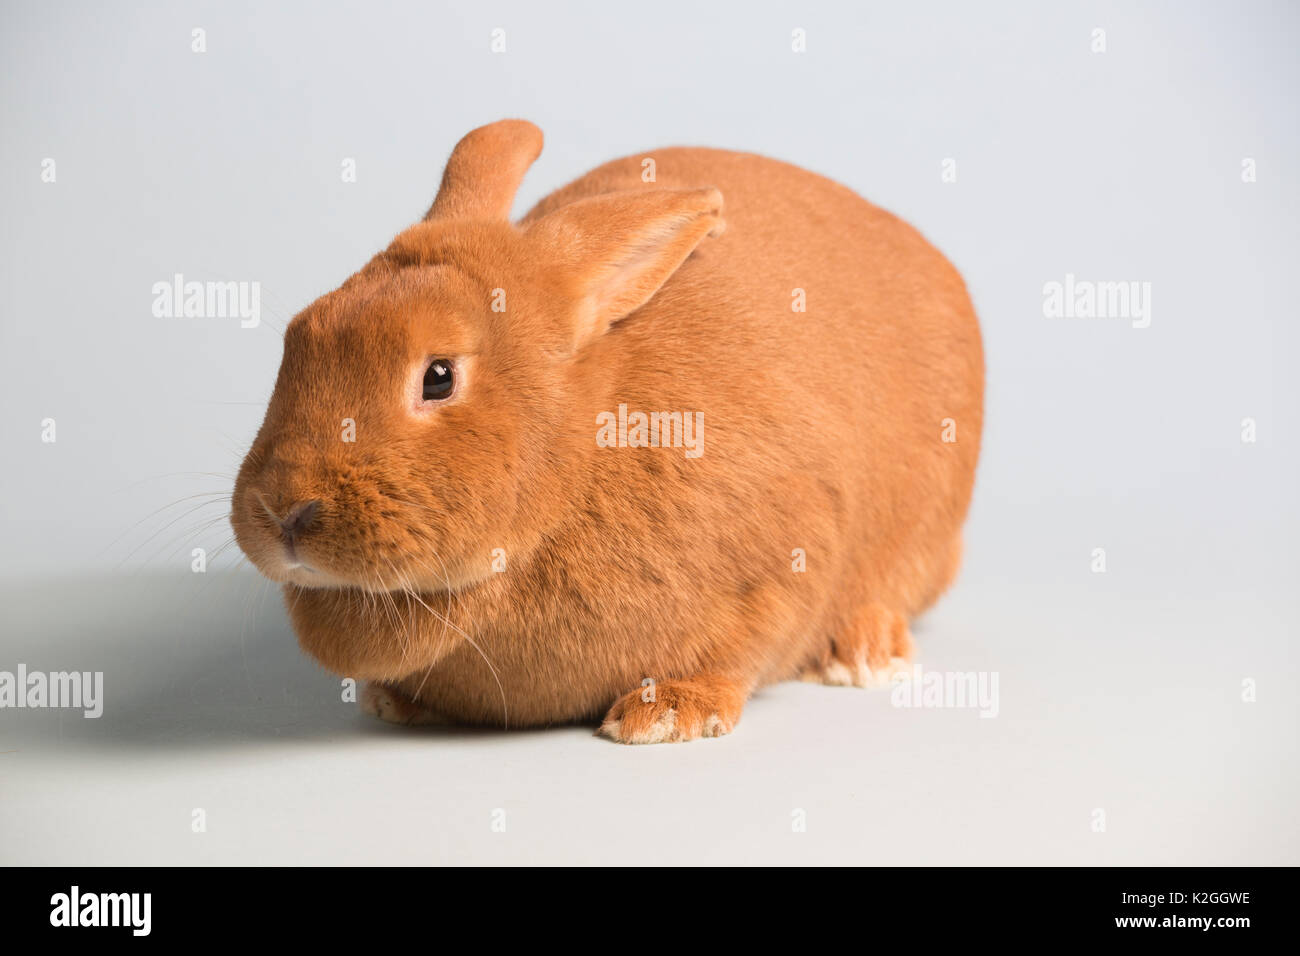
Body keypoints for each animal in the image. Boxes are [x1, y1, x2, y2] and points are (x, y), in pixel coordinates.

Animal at [230, 119, 984, 744]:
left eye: (438, 376)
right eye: (299, 336)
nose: (284, 511)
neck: (577, 462)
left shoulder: (788, 555)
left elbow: (743, 649)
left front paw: (671, 713)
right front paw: (395, 701)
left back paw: (865, 652)